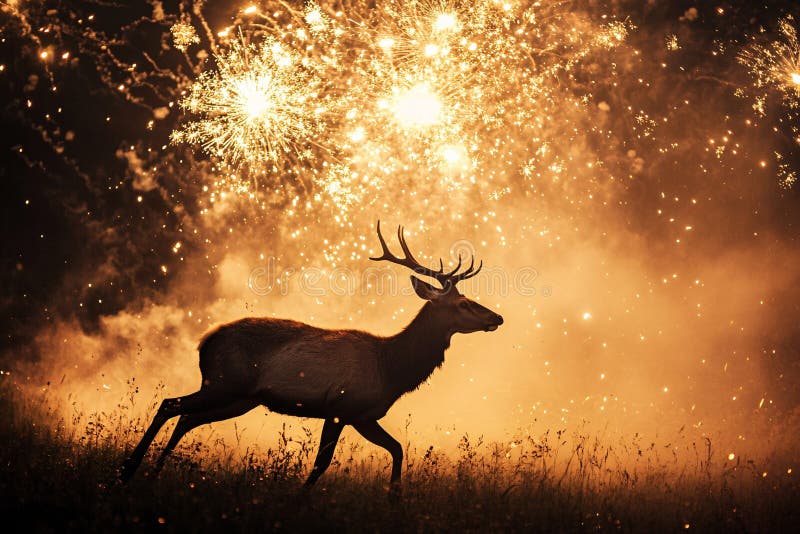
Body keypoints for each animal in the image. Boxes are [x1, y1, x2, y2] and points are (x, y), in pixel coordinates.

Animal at [118, 221, 504, 492]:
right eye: (463, 304)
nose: (497, 317)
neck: (391, 368)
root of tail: (204, 342)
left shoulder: (364, 415)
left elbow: (397, 450)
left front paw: (395, 498)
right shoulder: (339, 406)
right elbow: (321, 463)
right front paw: (298, 499)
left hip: (239, 397)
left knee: (186, 417)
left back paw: (153, 473)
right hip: (226, 383)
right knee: (170, 404)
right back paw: (128, 471)